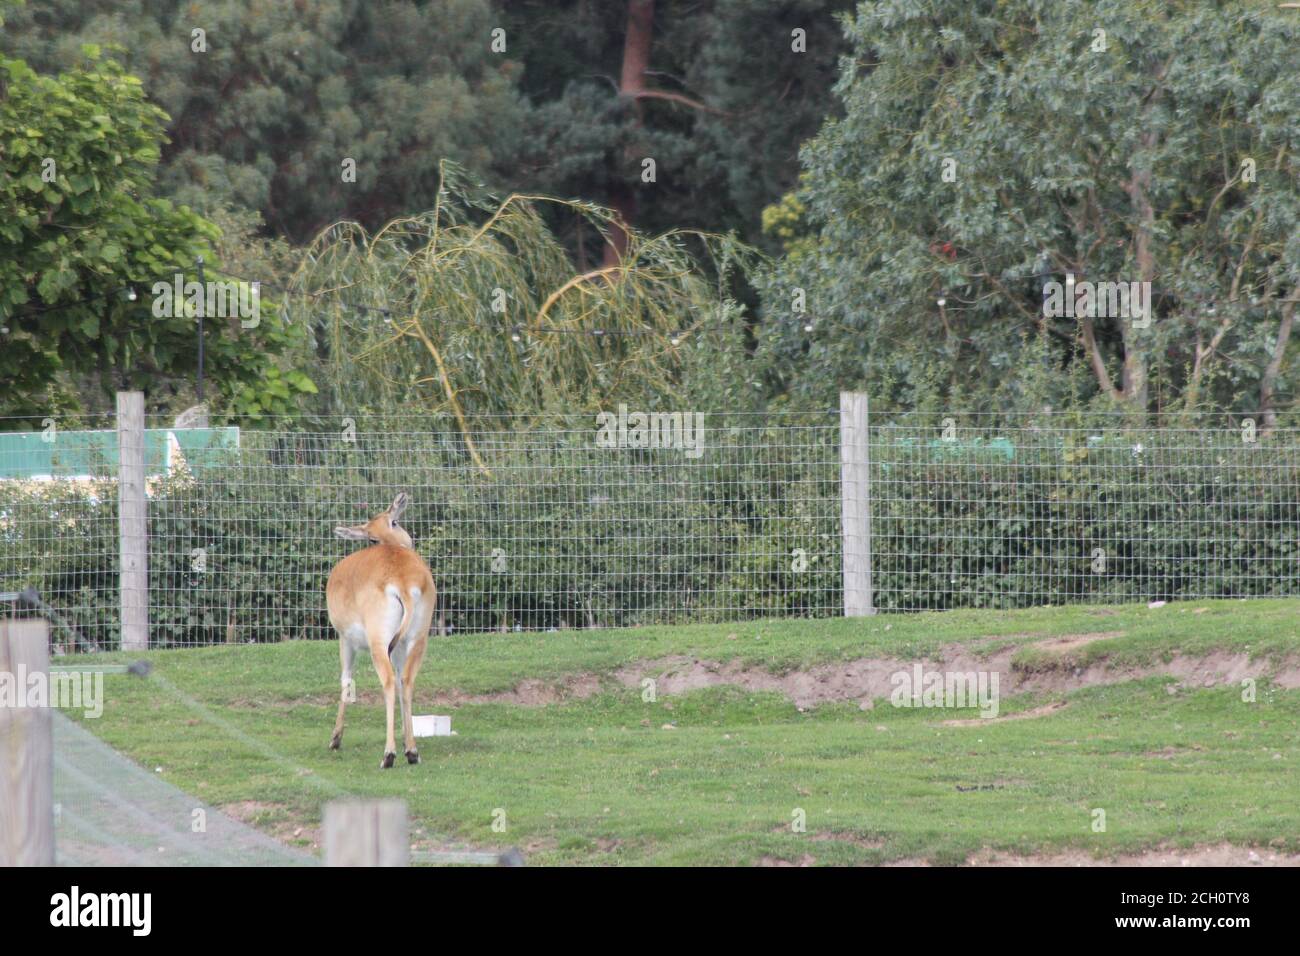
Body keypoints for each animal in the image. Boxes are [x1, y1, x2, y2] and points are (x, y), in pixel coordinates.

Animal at [326, 493, 436, 768]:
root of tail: (402, 582)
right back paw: (411, 751)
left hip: (379, 643)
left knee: (387, 681)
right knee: (405, 680)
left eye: (394, 521)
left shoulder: (345, 640)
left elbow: (346, 679)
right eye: (372, 537)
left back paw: (389, 755)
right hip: (417, 639)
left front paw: (335, 739)